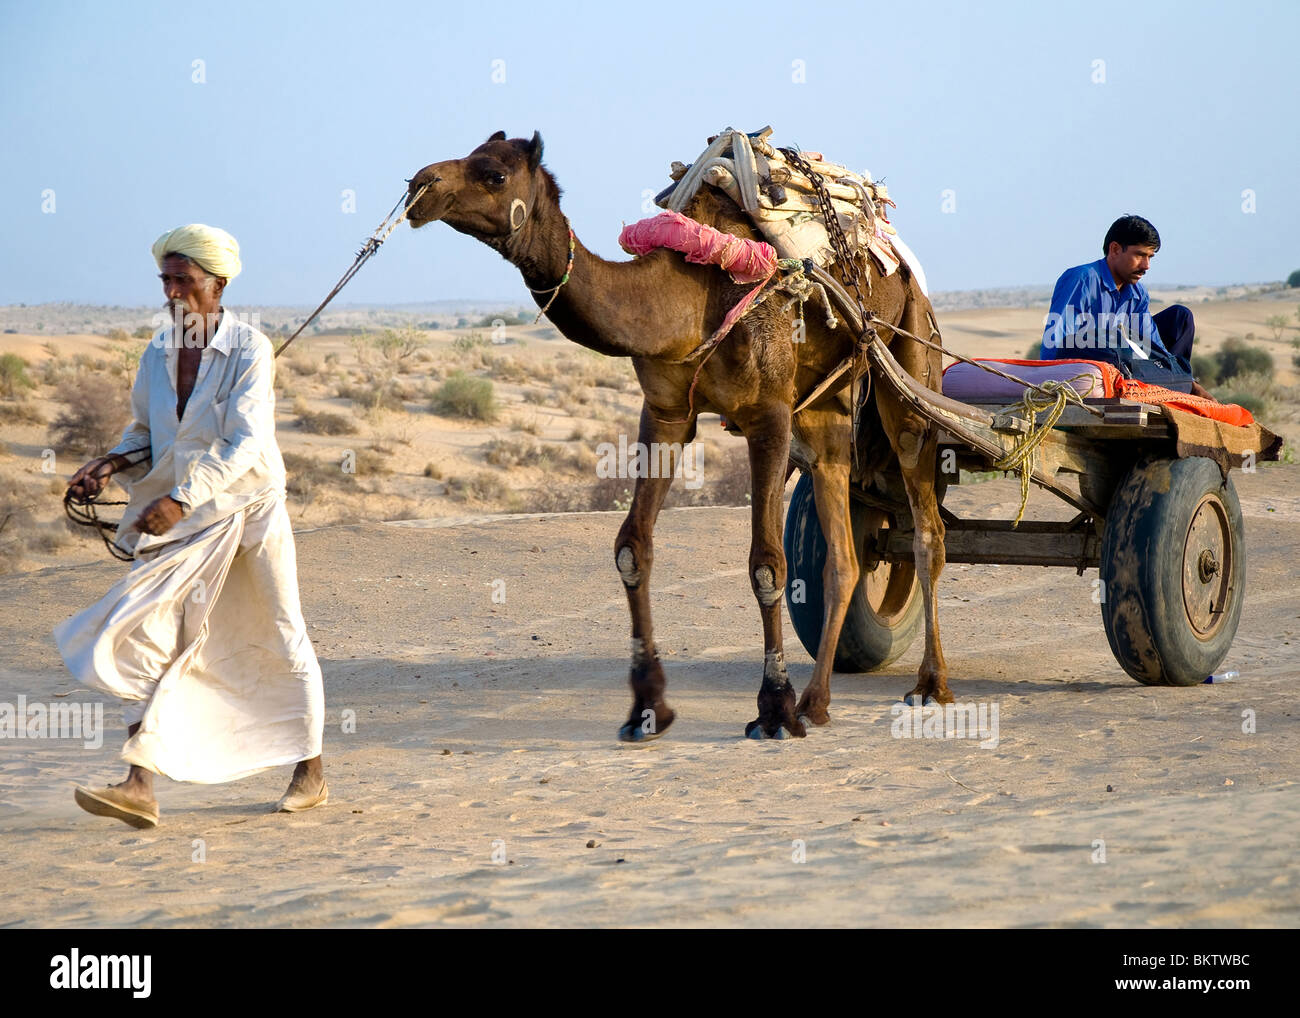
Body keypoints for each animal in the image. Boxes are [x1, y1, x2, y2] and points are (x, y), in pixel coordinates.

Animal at [406, 131, 951, 741]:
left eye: (494, 174)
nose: (419, 185)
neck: (687, 298)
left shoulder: (769, 413)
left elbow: (767, 564)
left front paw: (773, 708)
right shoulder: (666, 414)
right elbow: (631, 548)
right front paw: (647, 708)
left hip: (910, 361)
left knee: (926, 528)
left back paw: (928, 684)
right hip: (827, 413)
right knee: (844, 557)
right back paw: (818, 702)